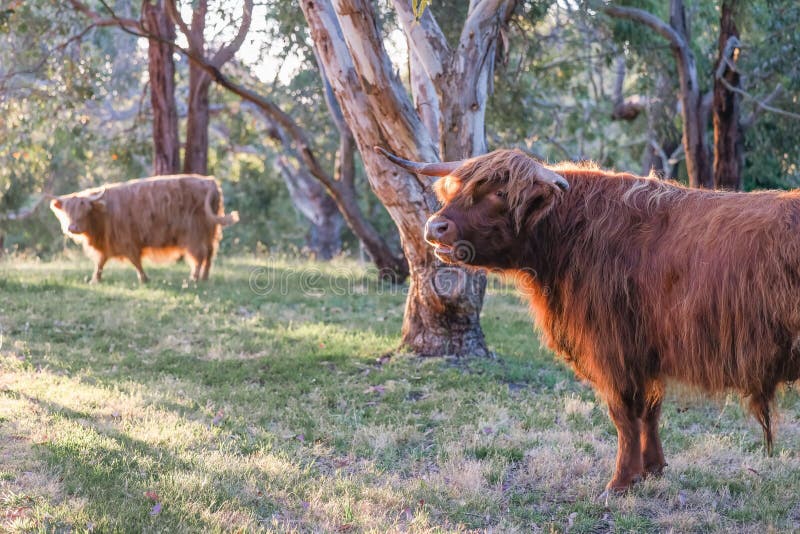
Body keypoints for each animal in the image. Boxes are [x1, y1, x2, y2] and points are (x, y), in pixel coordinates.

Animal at [50, 175, 238, 283]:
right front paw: (95, 280)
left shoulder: (128, 240)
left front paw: (144, 278)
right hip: (209, 231)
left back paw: (194, 278)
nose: (72, 227)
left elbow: (135, 261)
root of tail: (210, 182)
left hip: (194, 232)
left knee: (199, 254)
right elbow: (100, 262)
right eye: (68, 212)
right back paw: (205, 277)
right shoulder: (108, 244)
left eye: (85, 210)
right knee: (210, 253)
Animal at [376, 146, 800, 493]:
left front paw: (620, 483)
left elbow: (624, 415)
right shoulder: (642, 352)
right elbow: (649, 412)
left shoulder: (613, 348)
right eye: (456, 190)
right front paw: (653, 470)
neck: (572, 236)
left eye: (498, 193)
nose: (435, 227)